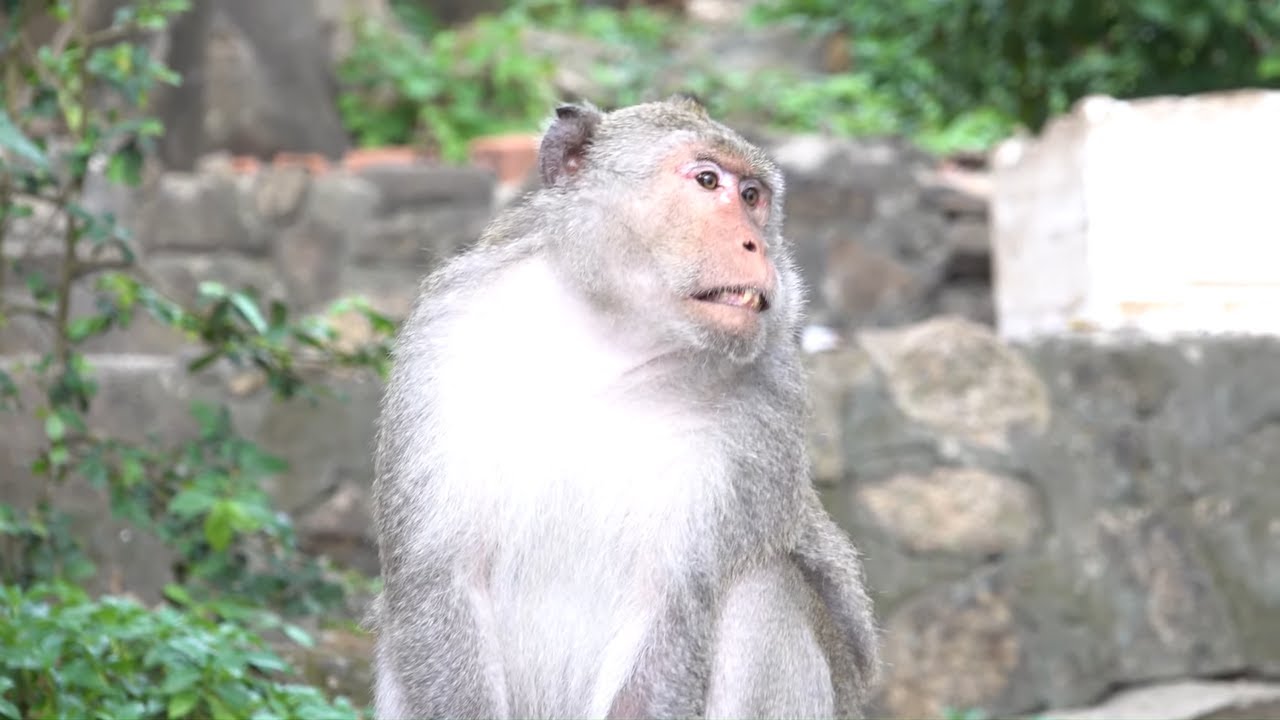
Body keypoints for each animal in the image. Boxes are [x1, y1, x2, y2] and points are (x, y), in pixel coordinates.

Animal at [369, 96, 881, 720]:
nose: (756, 246)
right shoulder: (445, 345)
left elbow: (674, 610)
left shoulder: (762, 407)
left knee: (763, 594)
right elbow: (441, 576)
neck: (609, 344)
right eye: (707, 181)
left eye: (753, 196)